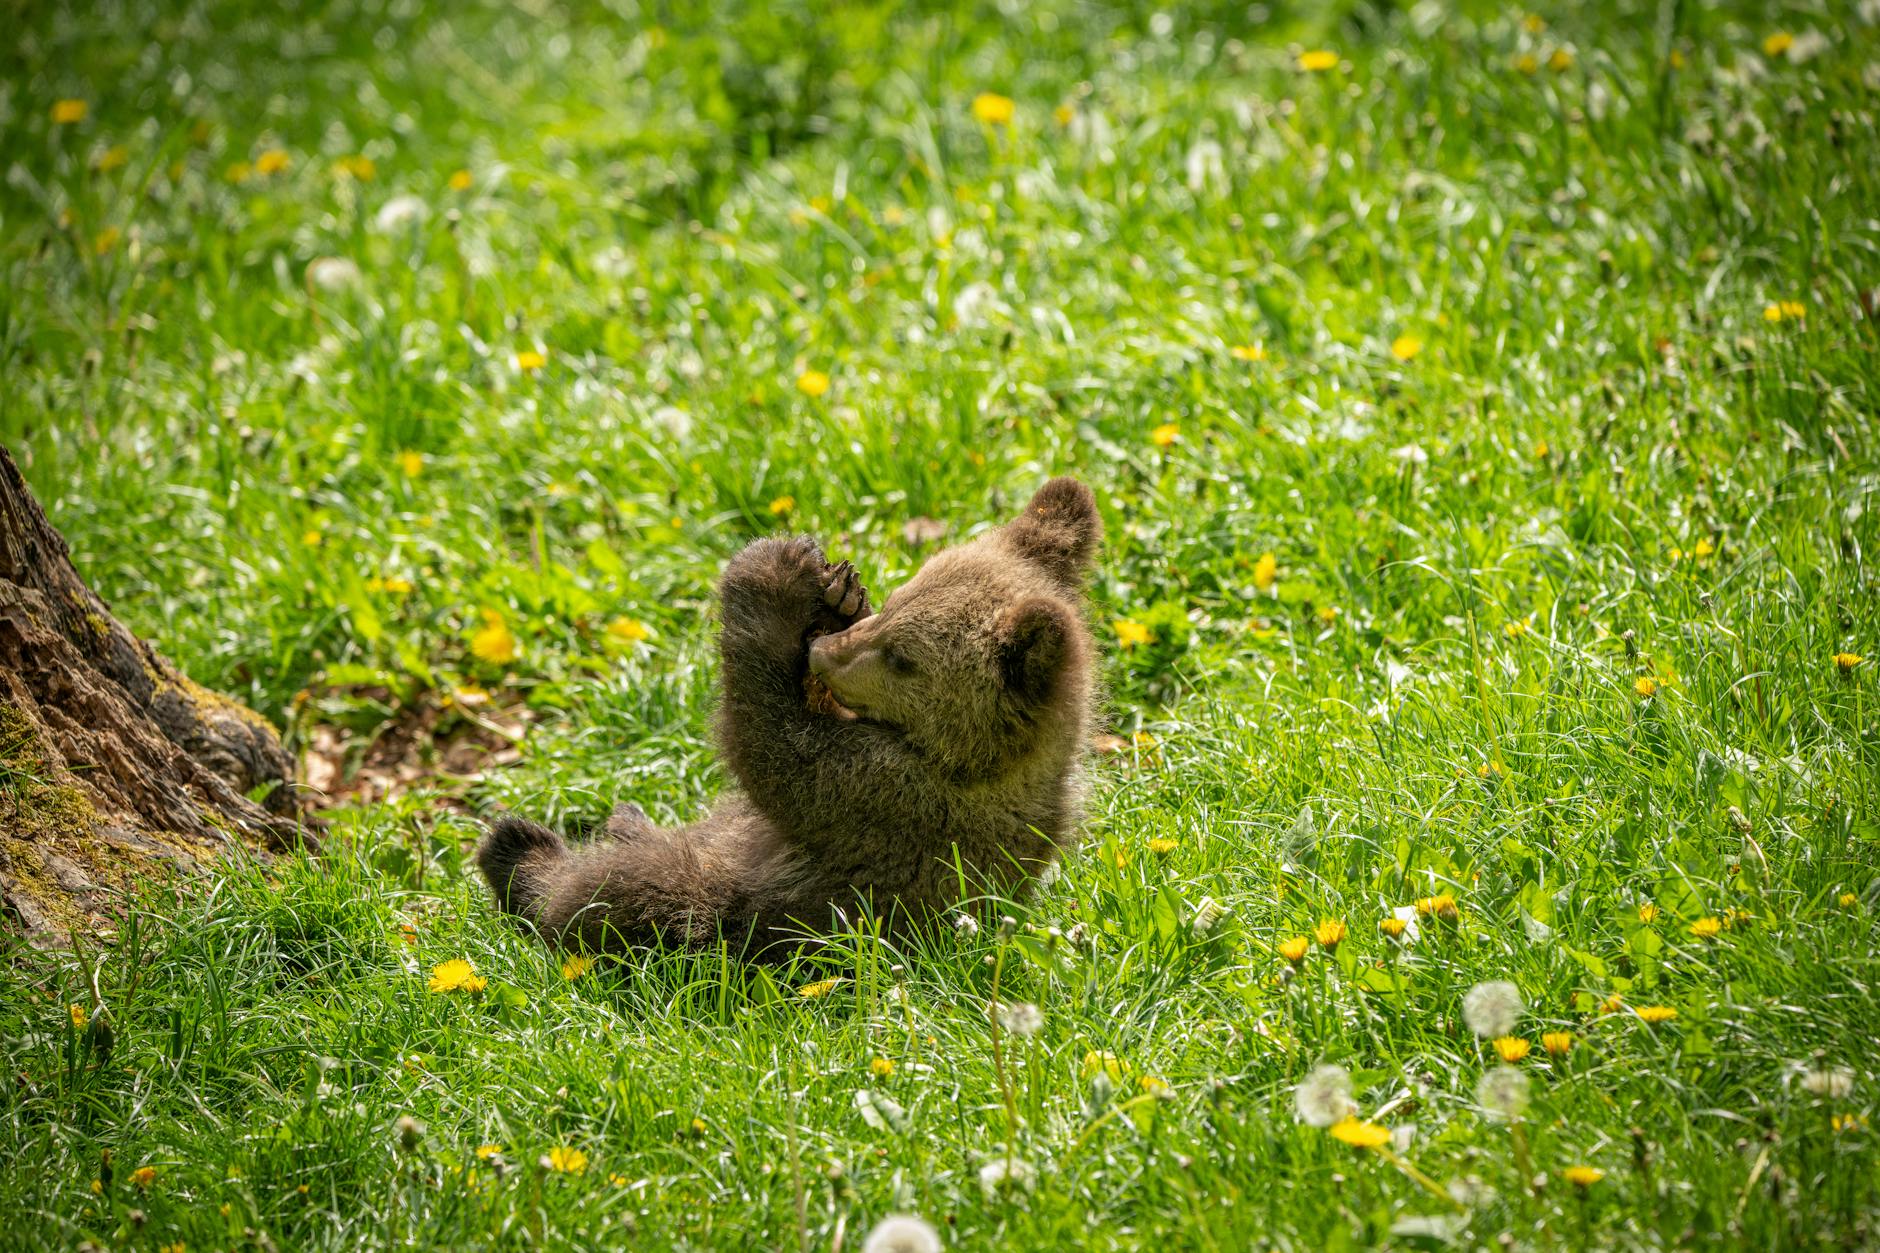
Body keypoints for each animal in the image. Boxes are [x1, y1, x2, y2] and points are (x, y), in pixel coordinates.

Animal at [476, 476, 1102, 957]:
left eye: (903, 658)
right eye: (900, 595)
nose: (825, 651)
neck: (966, 758)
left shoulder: (890, 803)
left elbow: (773, 751)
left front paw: (773, 575)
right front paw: (837, 594)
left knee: (630, 891)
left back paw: (520, 848)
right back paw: (622, 819)